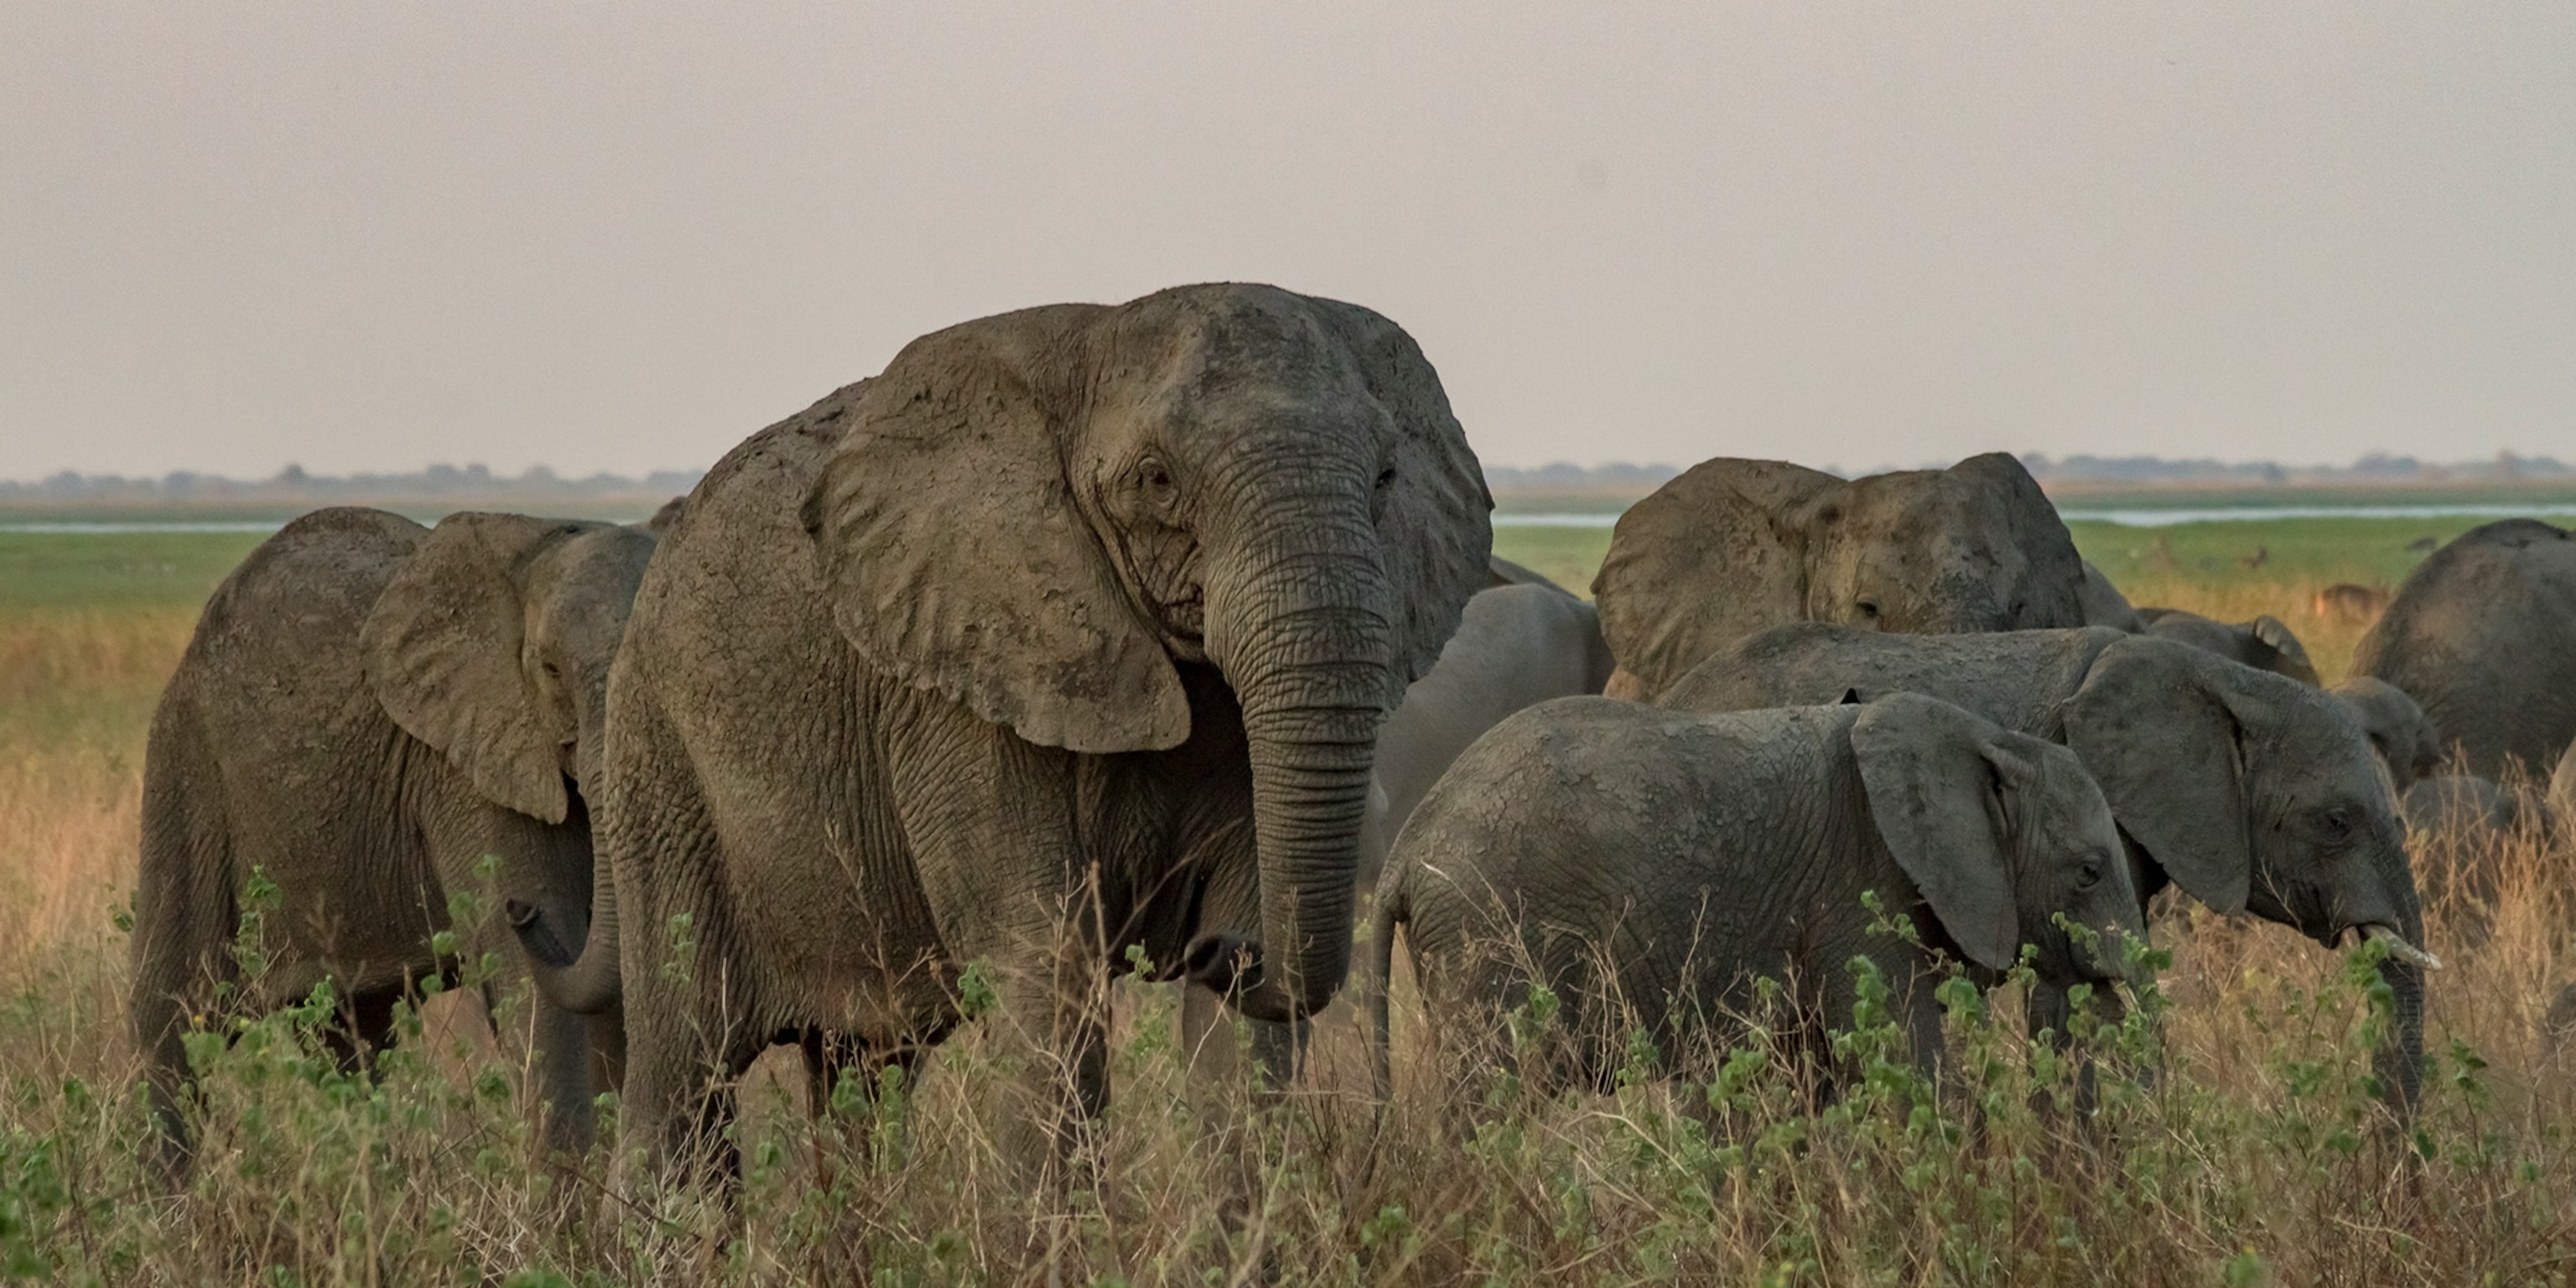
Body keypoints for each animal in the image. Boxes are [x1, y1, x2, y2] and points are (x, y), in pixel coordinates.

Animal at [131, 507, 656, 1167]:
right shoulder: (462, 764)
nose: (519, 911)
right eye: (551, 670)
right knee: (174, 1015)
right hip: (187, 770)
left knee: (351, 1036)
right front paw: (571, 1200)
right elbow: (537, 974)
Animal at [506, 285, 1492, 1178]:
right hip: (660, 762)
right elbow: (1043, 967)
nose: (1214, 951)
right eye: (1156, 480)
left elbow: (1241, 1038)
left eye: (1386, 480)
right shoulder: (956, 683)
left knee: (864, 1071)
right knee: (684, 1074)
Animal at [1367, 693, 2143, 1097]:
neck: (1987, 738)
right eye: (2088, 872)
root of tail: (1402, 851)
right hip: (1484, 929)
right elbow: (1902, 1062)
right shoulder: (1859, 886)